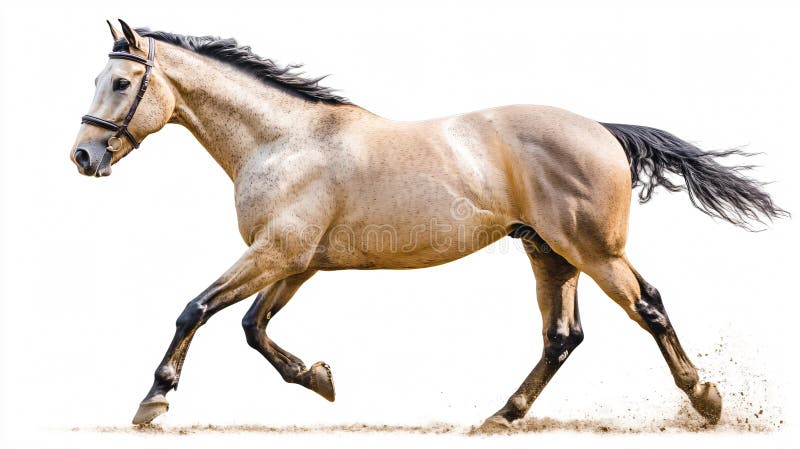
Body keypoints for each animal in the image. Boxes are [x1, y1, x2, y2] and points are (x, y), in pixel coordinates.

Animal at [71, 20, 786, 431]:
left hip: (593, 250)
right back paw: (502, 415)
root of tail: (602, 130)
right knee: (563, 336)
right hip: (550, 253)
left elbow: (196, 309)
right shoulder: (298, 263)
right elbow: (253, 327)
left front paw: (153, 402)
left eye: (121, 82)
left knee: (650, 307)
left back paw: (706, 400)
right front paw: (319, 379)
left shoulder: (277, 254)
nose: (82, 156)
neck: (283, 140)